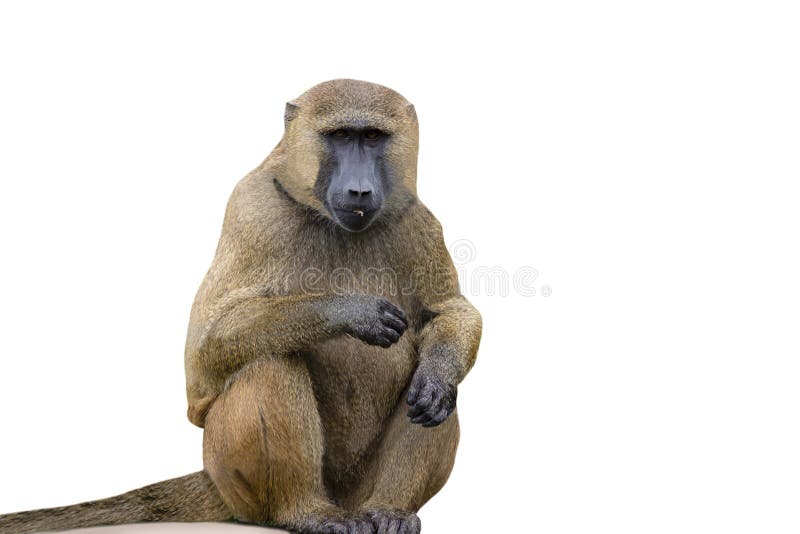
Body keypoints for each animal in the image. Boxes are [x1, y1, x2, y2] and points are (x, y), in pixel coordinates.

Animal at [0, 79, 482, 534]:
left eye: (374, 137)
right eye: (342, 135)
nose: (360, 191)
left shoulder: (418, 220)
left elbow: (450, 314)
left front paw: (436, 374)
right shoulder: (251, 206)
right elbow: (203, 352)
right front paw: (352, 312)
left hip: (354, 487)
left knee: (436, 390)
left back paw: (389, 509)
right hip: (232, 472)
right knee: (269, 360)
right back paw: (305, 512)